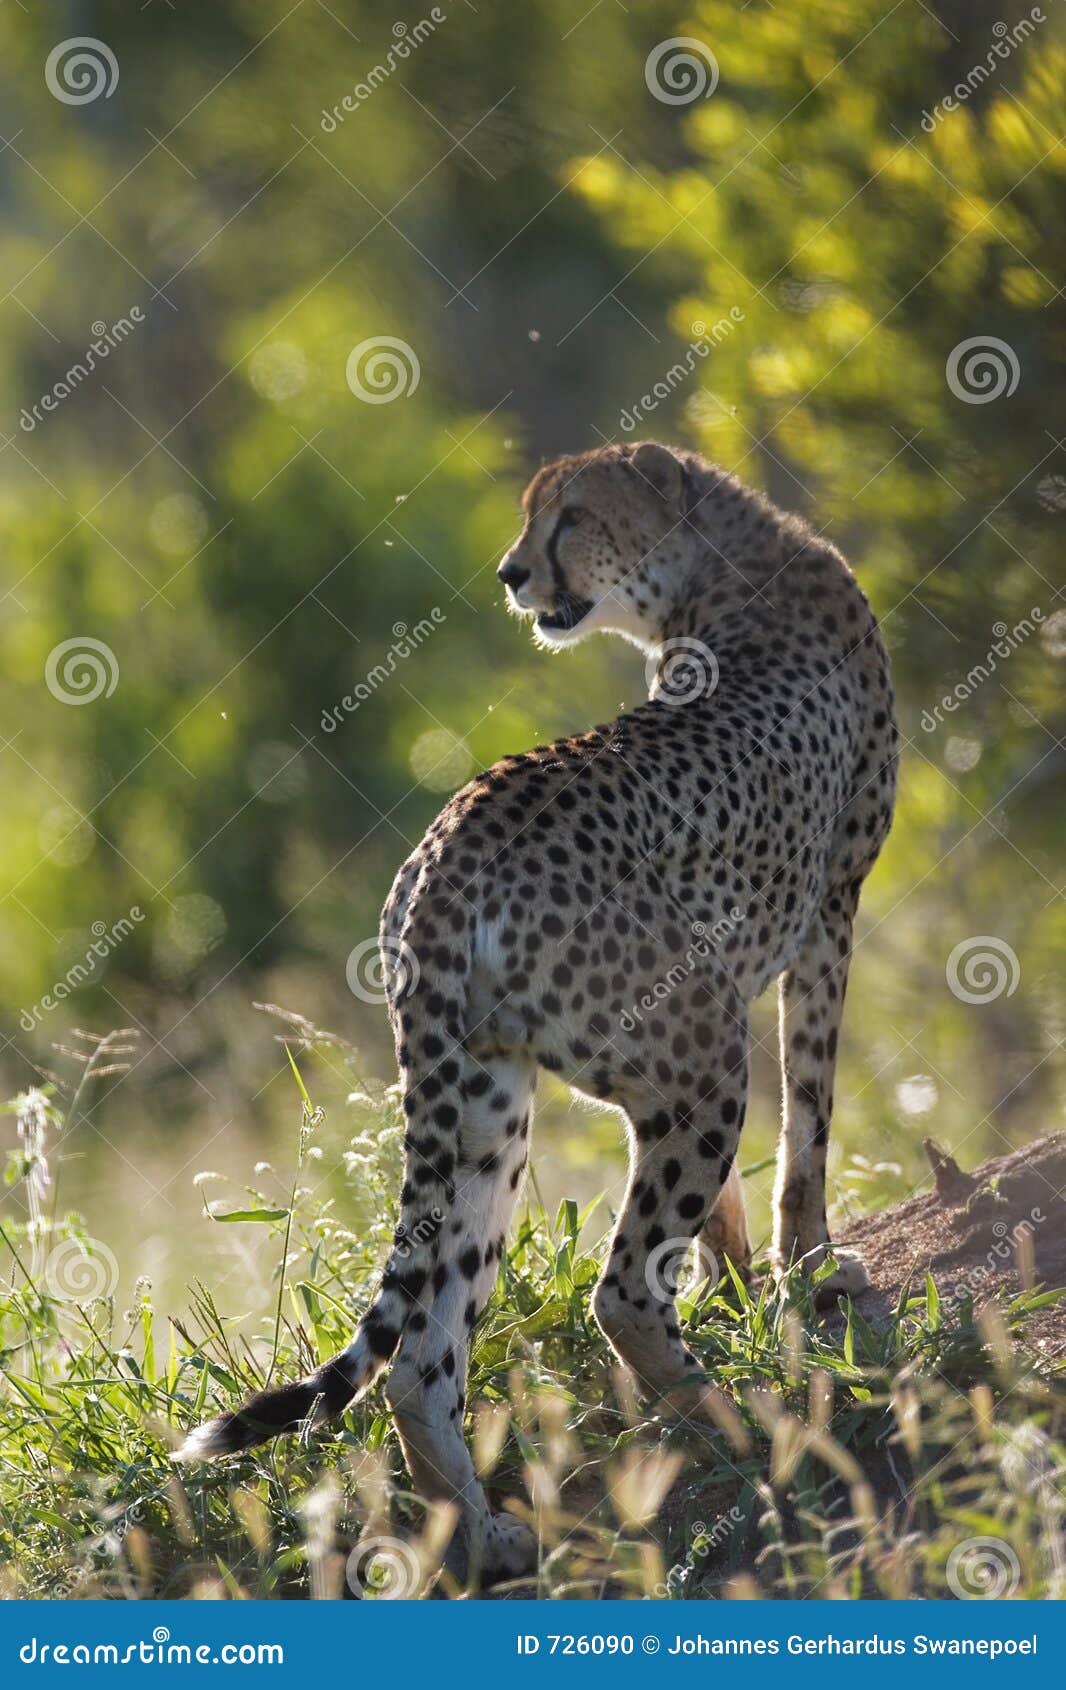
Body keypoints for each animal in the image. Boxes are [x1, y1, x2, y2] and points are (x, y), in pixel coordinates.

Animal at [179, 440, 898, 1587]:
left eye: (569, 517)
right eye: (534, 518)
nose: (513, 574)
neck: (724, 557)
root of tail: (448, 841)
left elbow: (735, 1194)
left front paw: (746, 1288)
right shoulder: (828, 912)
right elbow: (812, 1117)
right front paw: (813, 1271)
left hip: (486, 1105)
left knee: (419, 1357)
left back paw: (482, 1540)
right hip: (693, 1048)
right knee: (619, 1291)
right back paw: (738, 1421)